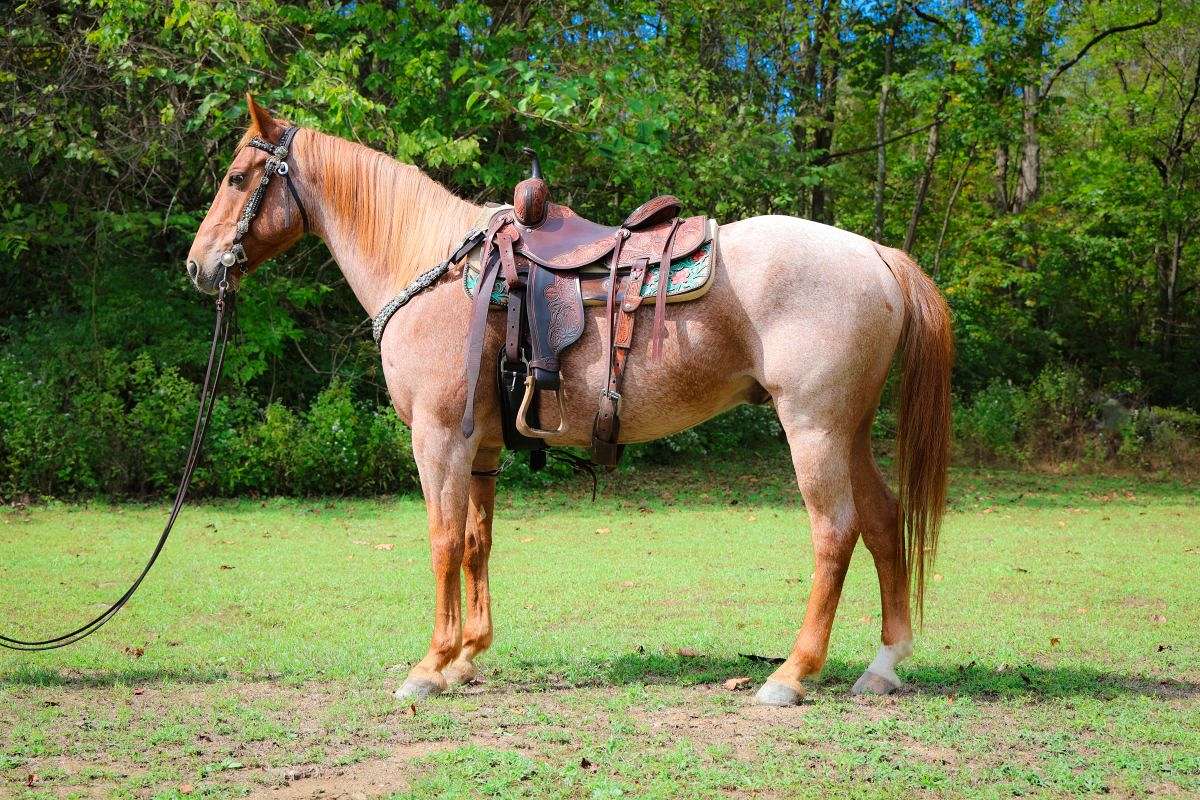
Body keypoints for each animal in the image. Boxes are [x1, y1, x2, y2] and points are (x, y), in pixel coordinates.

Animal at [186, 95, 952, 706]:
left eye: (235, 178)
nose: (197, 265)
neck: (438, 270)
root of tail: (875, 254)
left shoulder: (438, 436)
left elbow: (441, 540)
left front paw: (430, 666)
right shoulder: (482, 445)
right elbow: (476, 541)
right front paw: (467, 658)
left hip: (814, 429)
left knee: (835, 532)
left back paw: (791, 675)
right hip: (848, 430)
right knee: (883, 520)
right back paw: (883, 666)